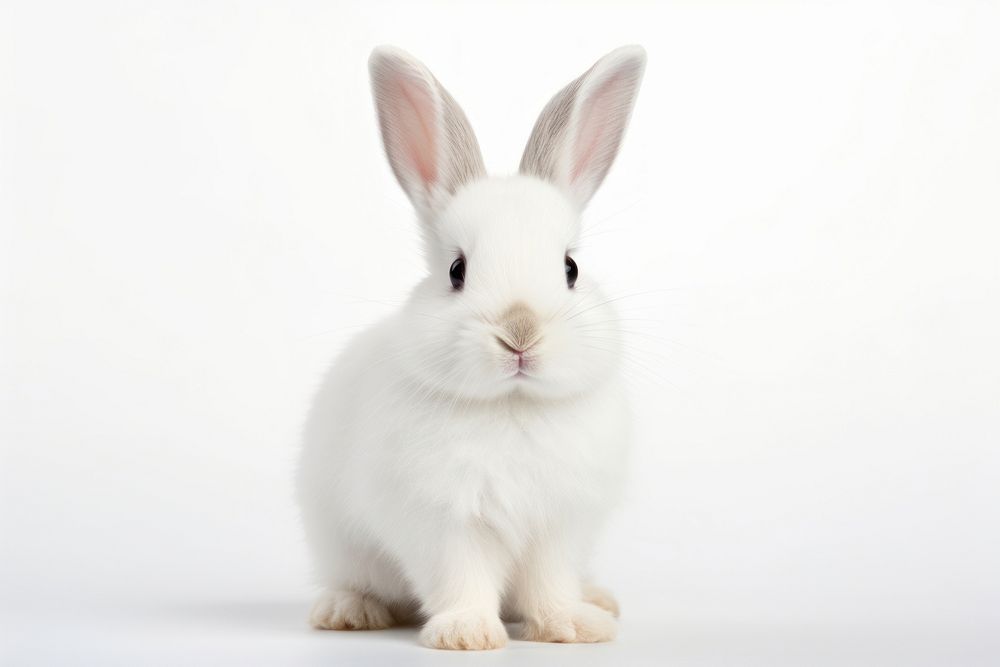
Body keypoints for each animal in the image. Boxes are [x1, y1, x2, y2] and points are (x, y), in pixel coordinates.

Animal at [297, 44, 646, 650]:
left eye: (571, 269)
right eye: (457, 270)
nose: (520, 332)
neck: (512, 406)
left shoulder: (560, 524)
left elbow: (550, 582)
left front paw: (573, 626)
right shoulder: (443, 524)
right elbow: (461, 579)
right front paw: (467, 635)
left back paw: (599, 599)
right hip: (339, 542)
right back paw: (349, 611)